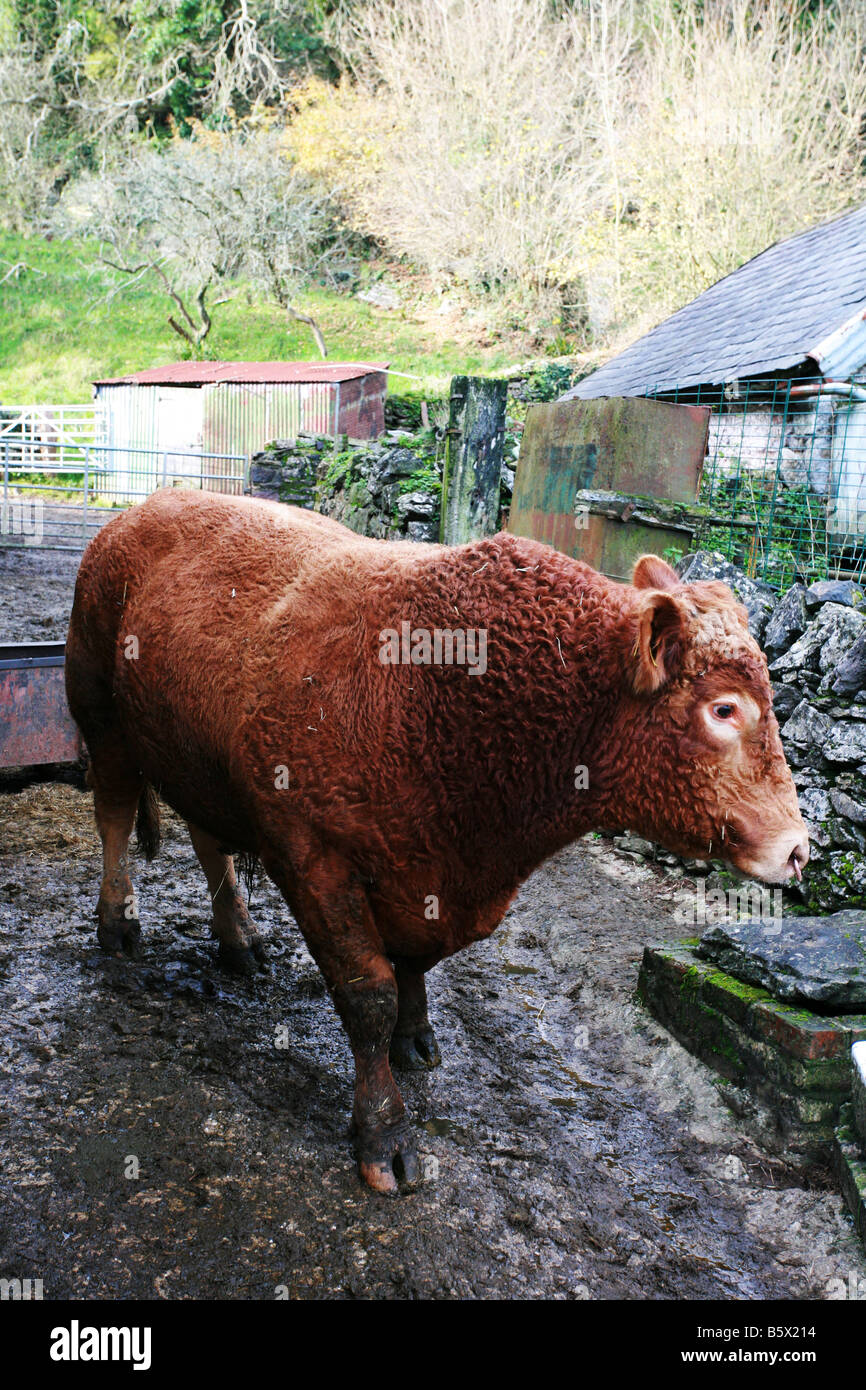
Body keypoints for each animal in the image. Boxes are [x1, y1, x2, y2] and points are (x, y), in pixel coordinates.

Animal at [65, 489, 808, 1194]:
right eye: (723, 709)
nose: (799, 848)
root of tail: (143, 509)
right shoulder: (315, 860)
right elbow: (368, 995)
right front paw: (384, 1135)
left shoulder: (425, 876)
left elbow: (415, 965)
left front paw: (416, 1036)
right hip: (102, 715)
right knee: (114, 815)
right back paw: (118, 922)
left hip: (193, 754)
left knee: (207, 839)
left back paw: (238, 937)